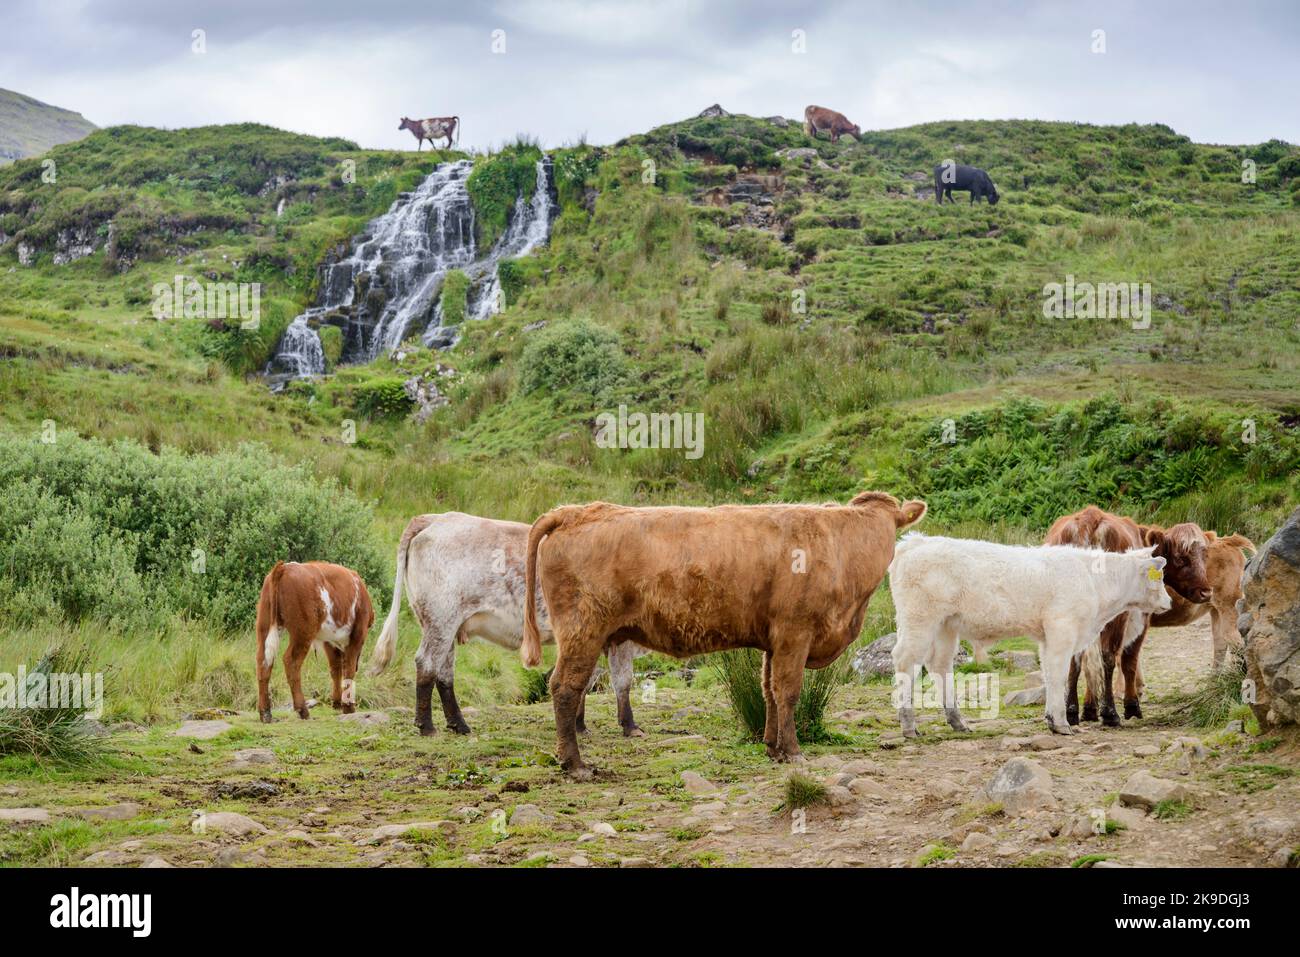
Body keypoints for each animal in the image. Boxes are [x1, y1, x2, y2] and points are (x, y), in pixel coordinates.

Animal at [255, 561, 375, 723]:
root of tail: (284, 567)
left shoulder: (329, 640)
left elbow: (335, 668)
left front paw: (336, 703)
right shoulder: (358, 634)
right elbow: (348, 668)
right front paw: (348, 707)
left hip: (265, 625)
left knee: (264, 661)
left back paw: (265, 713)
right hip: (303, 632)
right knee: (291, 661)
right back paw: (302, 710)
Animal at [367, 512, 642, 737]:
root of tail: (435, 518)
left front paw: (580, 726)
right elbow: (622, 680)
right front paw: (629, 726)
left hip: (445, 624)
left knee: (444, 671)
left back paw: (459, 724)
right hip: (440, 618)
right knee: (426, 663)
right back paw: (426, 726)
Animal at [521, 491, 926, 779]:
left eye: (891, 527)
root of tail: (576, 510)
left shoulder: (773, 640)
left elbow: (768, 691)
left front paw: (772, 747)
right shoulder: (795, 632)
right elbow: (788, 691)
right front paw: (794, 751)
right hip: (583, 631)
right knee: (565, 688)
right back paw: (575, 765)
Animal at [888, 534, 1171, 736]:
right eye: (1159, 577)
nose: (1168, 602)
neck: (1095, 582)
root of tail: (915, 541)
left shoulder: (1048, 637)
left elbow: (1048, 674)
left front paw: (1051, 719)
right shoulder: (1061, 629)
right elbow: (1058, 675)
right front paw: (1061, 723)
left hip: (945, 625)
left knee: (939, 665)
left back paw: (958, 721)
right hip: (919, 619)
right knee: (905, 663)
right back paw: (908, 726)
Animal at [1045, 507, 1211, 727]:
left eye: (1204, 555)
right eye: (1180, 559)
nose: (1206, 592)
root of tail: (1091, 517)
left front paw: (1089, 709)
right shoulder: (1140, 617)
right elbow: (1129, 660)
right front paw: (1131, 705)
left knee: (1075, 659)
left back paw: (1070, 711)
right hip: (1116, 617)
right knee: (1108, 656)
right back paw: (1110, 713)